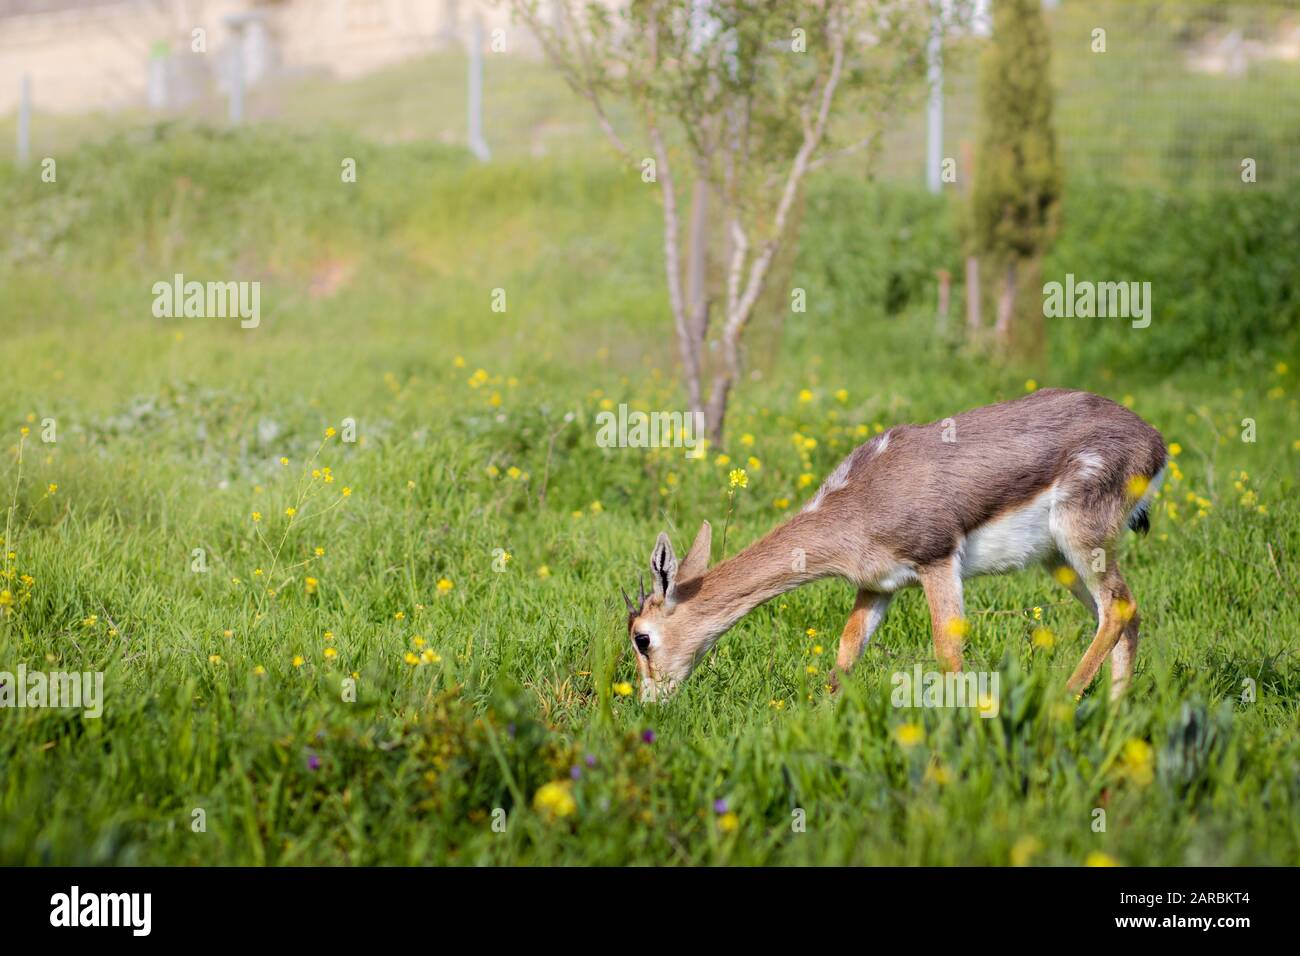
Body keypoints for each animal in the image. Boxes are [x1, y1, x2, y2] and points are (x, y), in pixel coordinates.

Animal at [623, 389, 1167, 704]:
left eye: (641, 638)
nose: (649, 701)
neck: (858, 503)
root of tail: (1155, 441)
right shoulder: (878, 587)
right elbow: (846, 652)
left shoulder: (936, 560)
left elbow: (948, 651)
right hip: (1059, 559)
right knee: (1120, 614)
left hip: (1081, 537)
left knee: (1118, 607)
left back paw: (1064, 701)